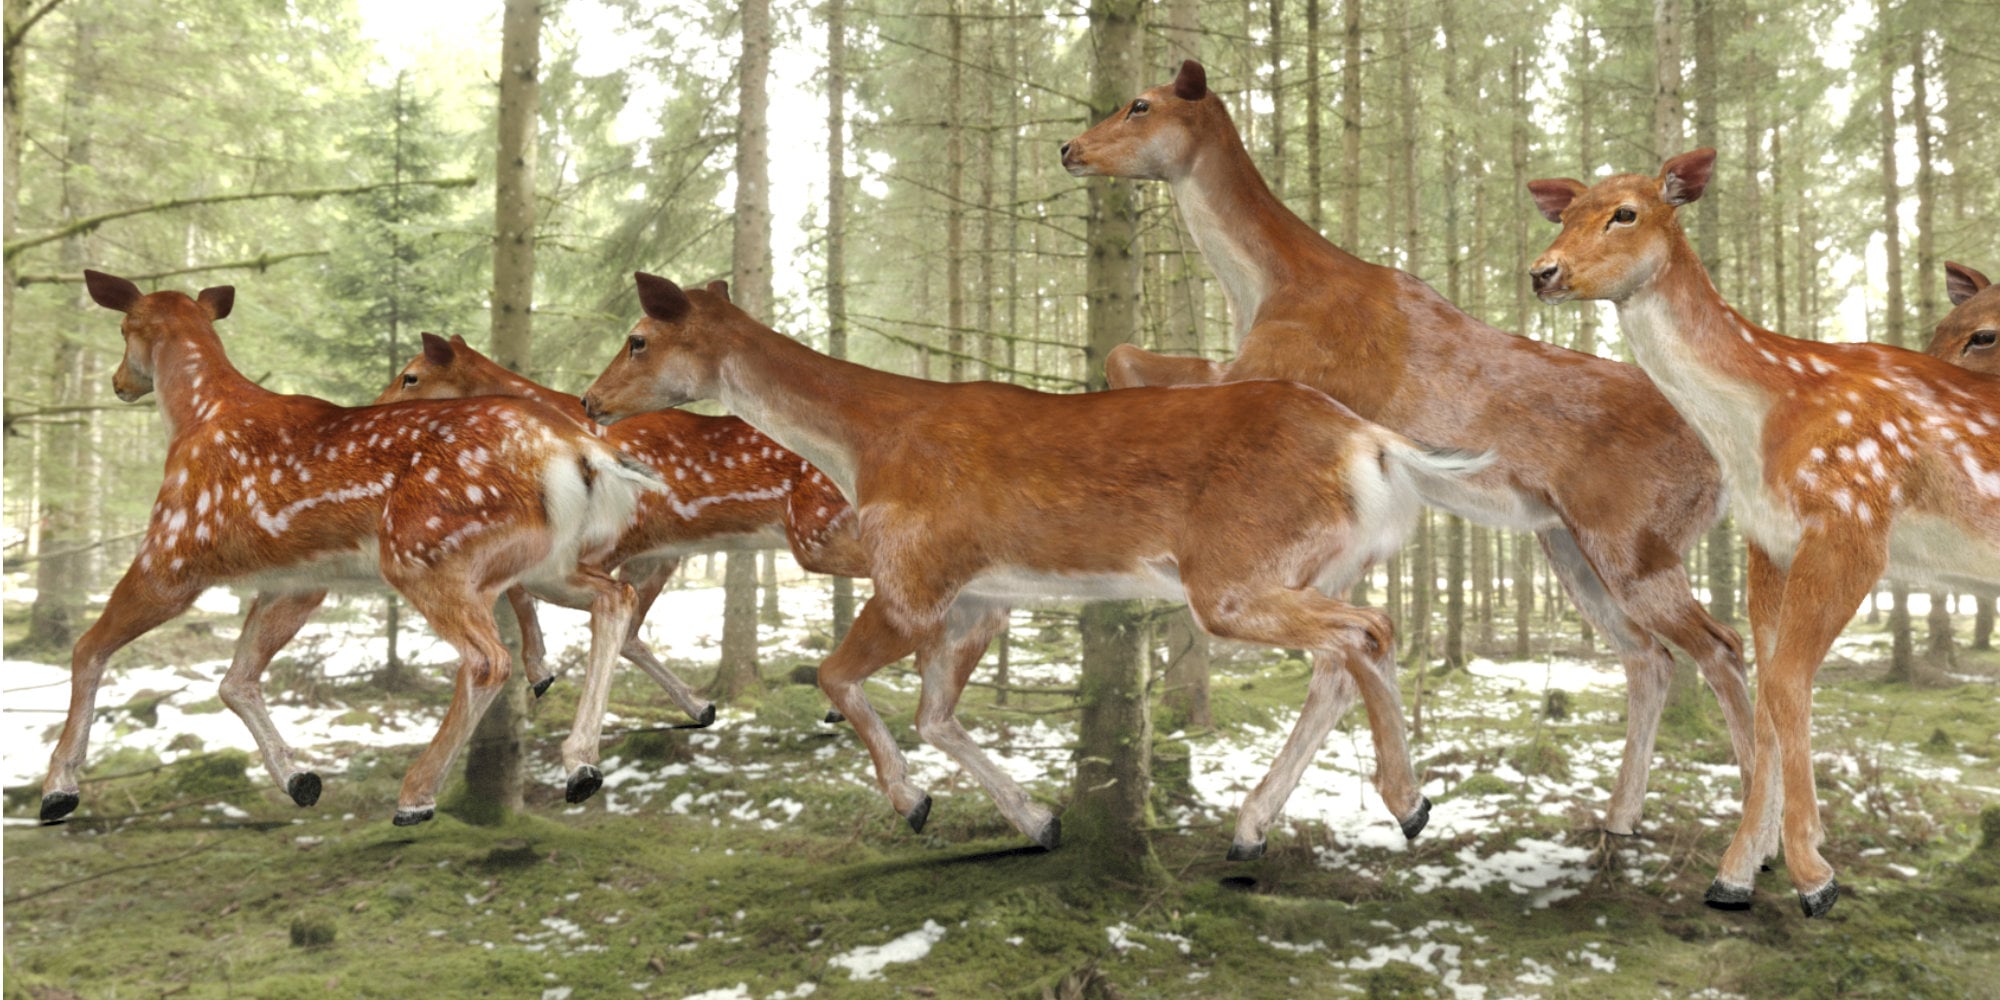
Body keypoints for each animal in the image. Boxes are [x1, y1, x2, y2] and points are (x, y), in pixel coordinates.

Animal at [40, 270, 661, 827]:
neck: (196, 416)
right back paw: (581, 766)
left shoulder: (173, 550)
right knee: (614, 597)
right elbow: (236, 680)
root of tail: (579, 447)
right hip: (546, 562)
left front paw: (59, 788)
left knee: (489, 658)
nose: (119, 382)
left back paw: (417, 795)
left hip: (425, 553)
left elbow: (88, 648)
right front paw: (300, 779)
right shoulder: (296, 580)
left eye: (124, 328)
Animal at [375, 332, 873, 732]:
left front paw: (540, 671)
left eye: (410, 376)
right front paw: (699, 706)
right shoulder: (654, 552)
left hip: (816, 531)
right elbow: (628, 632)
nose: (372, 412)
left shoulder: (608, 544)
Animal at [579, 272, 1496, 857]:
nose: (589, 400)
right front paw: (1037, 820)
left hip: (1233, 577)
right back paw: (1259, 829)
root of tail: (1375, 444)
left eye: (637, 338)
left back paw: (1405, 804)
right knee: (1343, 658)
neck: (867, 448)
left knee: (1366, 633)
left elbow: (837, 676)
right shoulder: (980, 597)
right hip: (1309, 566)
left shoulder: (915, 577)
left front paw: (913, 803)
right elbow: (935, 713)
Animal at [1060, 59, 1757, 841]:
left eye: (1140, 104)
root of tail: (1724, 466)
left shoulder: (1274, 378)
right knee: (1650, 656)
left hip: (1636, 534)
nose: (1069, 148)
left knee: (1722, 645)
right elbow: (1122, 355)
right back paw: (1619, 817)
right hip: (1573, 544)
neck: (1264, 290)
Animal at [1526, 149, 2000, 918]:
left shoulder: (1850, 520)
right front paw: (1737, 875)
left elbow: (1786, 682)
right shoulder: (1768, 541)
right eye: (1563, 213)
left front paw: (1814, 878)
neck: (1764, 423)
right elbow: (1771, 678)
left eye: (1626, 212)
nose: (1543, 271)